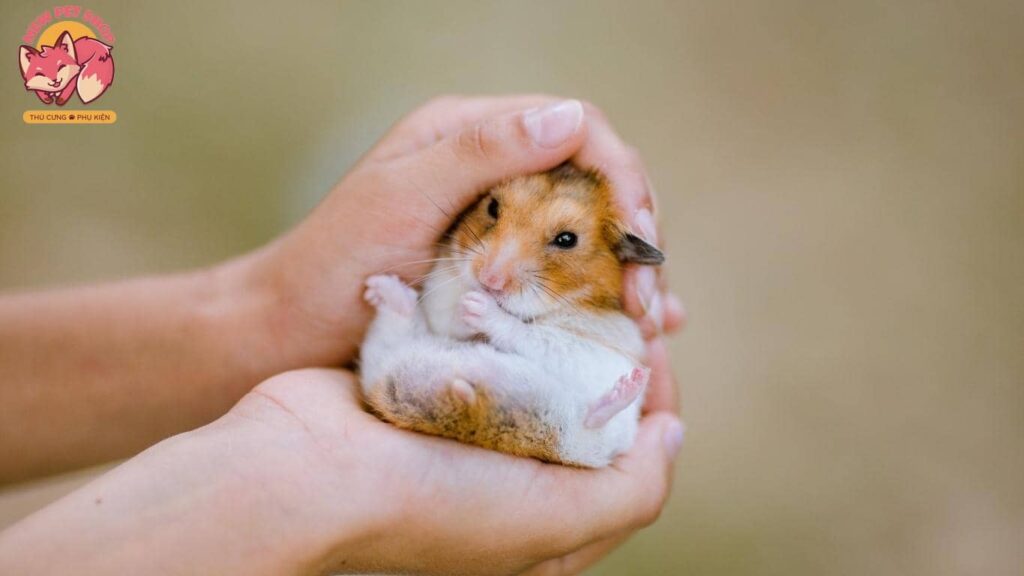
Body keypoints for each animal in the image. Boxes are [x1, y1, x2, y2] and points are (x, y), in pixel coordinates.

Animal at [358, 163, 664, 467]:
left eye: (567, 239)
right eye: (492, 207)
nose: (488, 280)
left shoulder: (590, 347)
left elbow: (530, 334)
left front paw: (476, 306)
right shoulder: (440, 292)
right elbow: (448, 314)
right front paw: (467, 303)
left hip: (594, 436)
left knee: (593, 421)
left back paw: (630, 385)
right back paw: (383, 290)